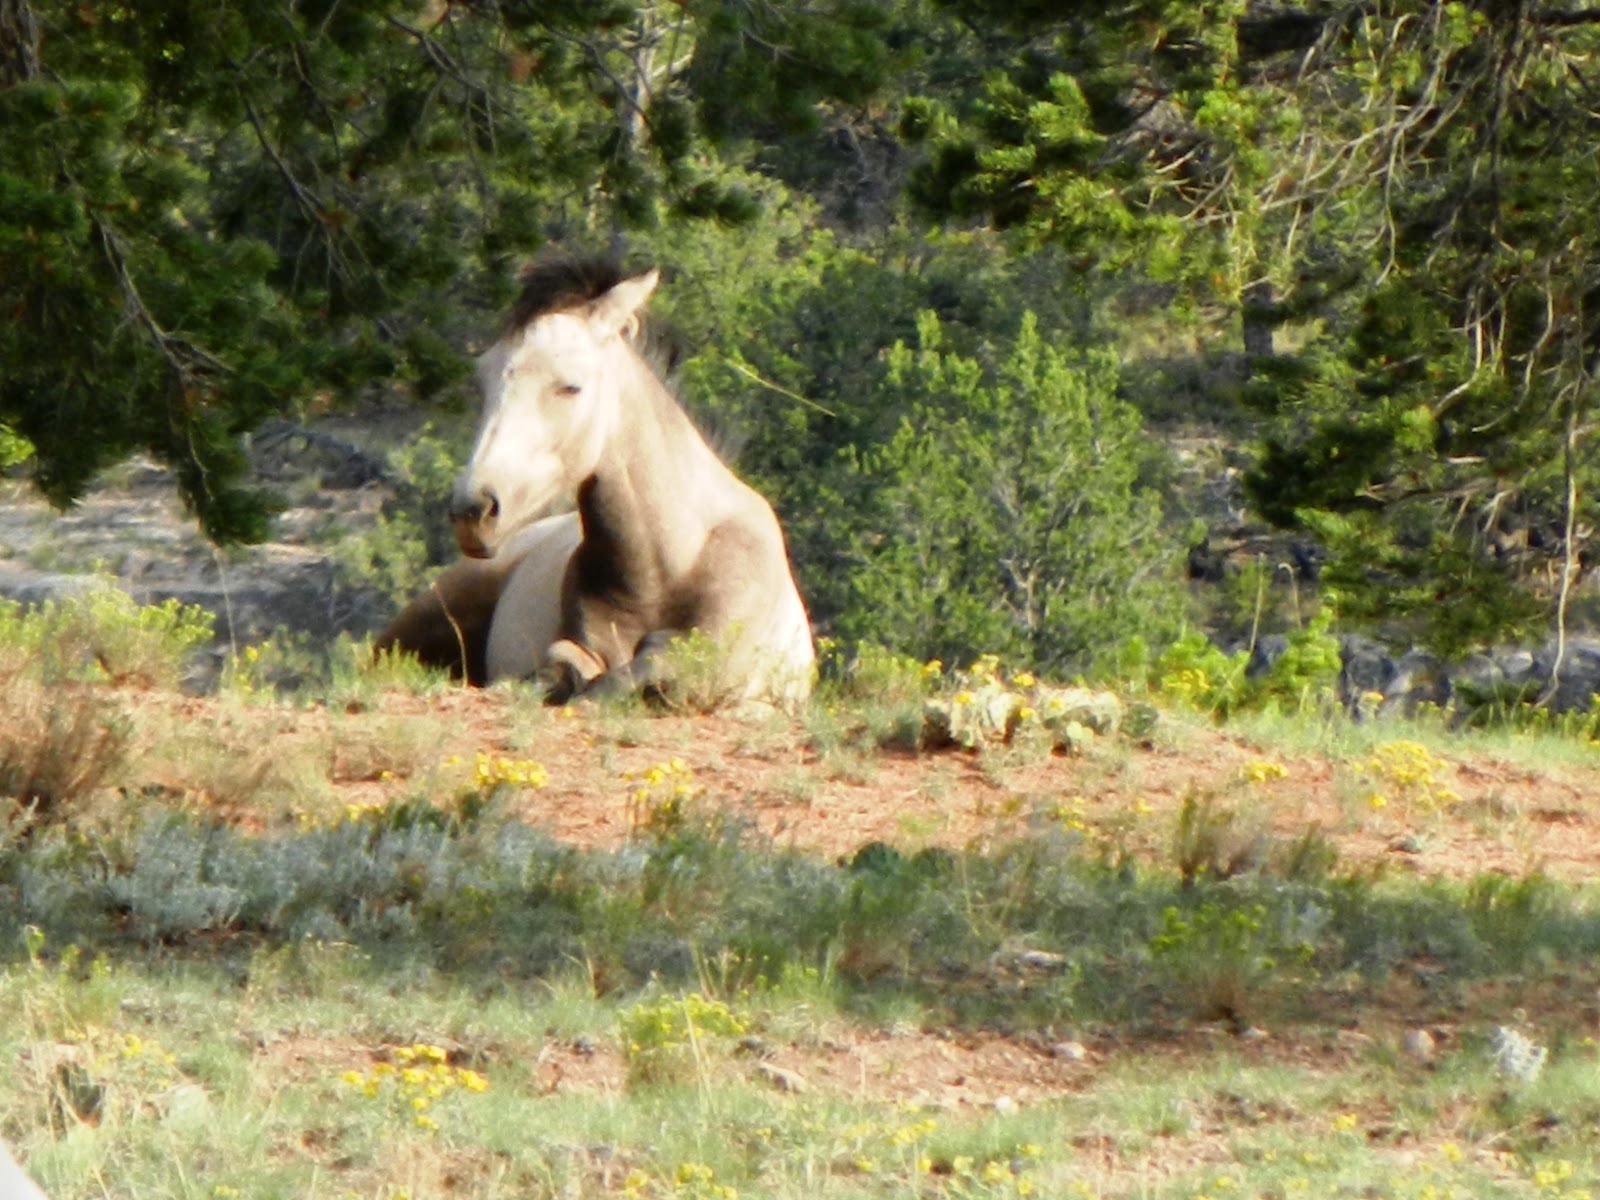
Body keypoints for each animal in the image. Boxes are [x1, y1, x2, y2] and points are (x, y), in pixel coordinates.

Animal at [375, 255, 815, 706]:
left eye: (571, 386)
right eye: (481, 382)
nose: (473, 511)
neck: (669, 567)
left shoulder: (709, 661)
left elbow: (643, 666)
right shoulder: (583, 648)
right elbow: (563, 664)